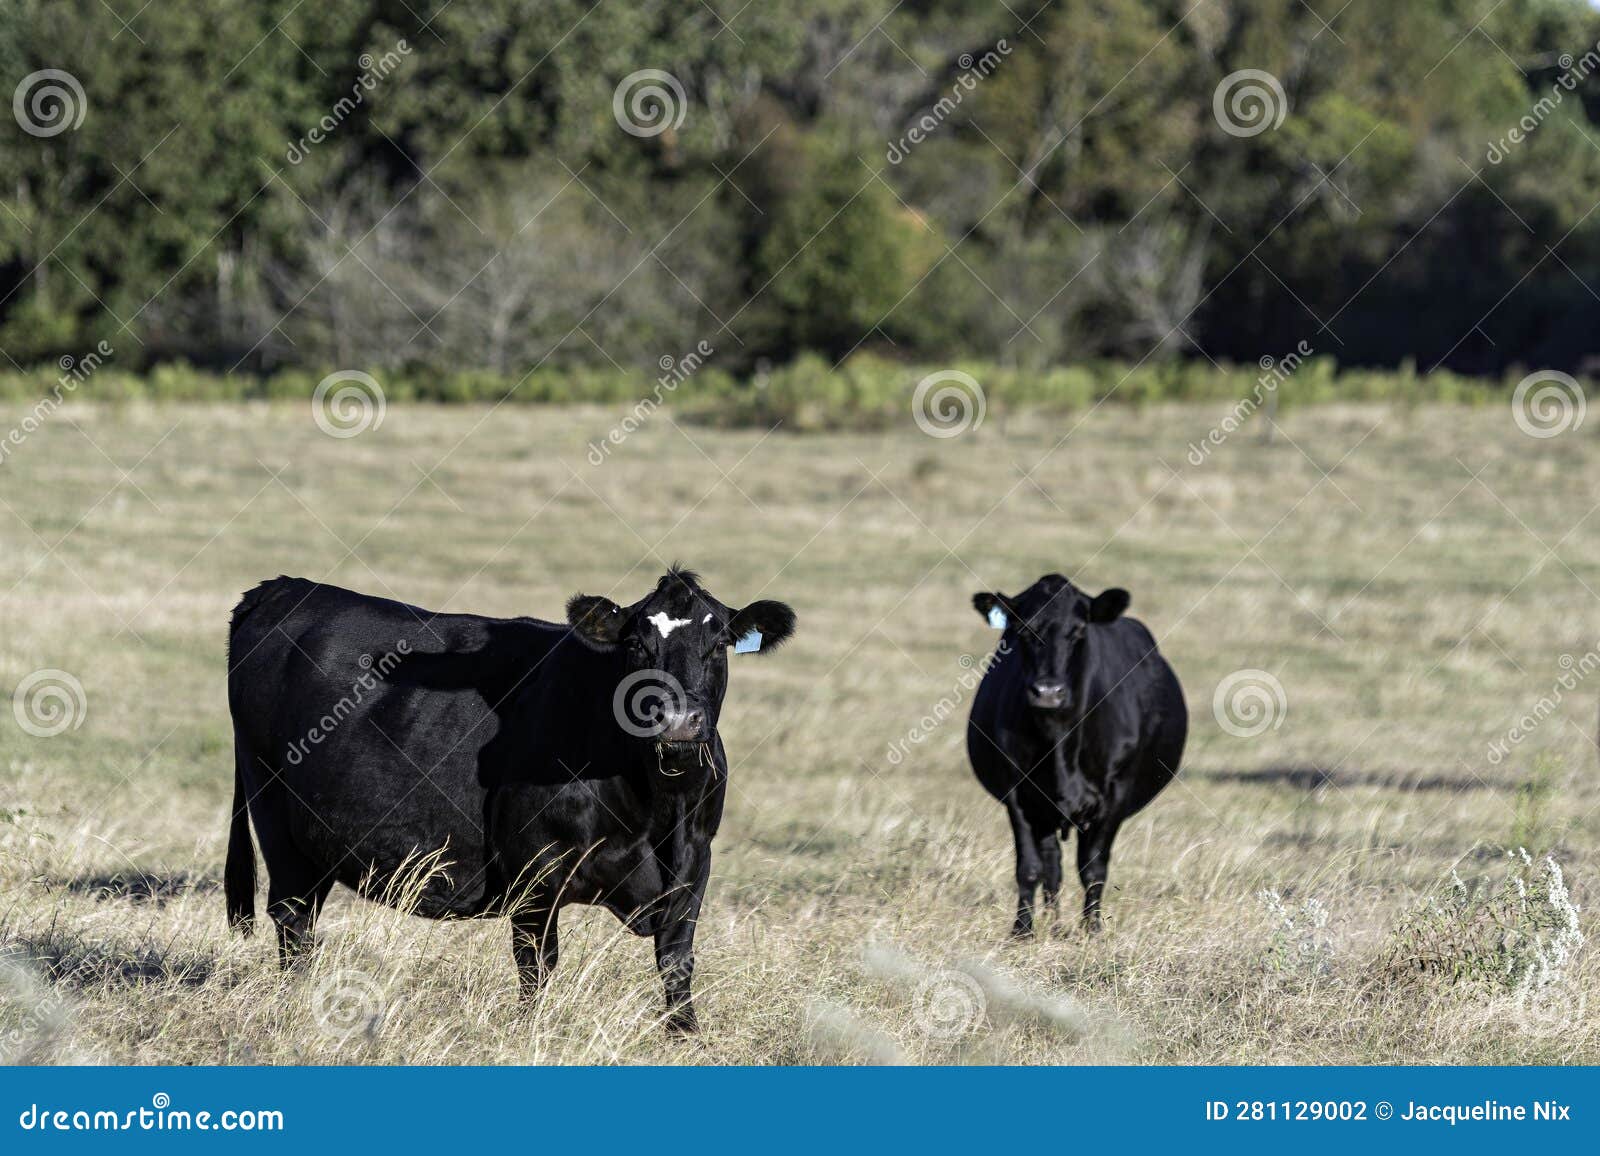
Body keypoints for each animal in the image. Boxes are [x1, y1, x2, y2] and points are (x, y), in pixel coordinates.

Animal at [224, 567, 795, 1033]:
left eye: (718, 643)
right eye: (636, 645)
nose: (676, 721)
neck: (660, 804)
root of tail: (285, 588)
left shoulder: (696, 857)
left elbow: (676, 957)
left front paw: (684, 1035)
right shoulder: (536, 863)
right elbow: (536, 961)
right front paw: (531, 1030)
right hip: (274, 812)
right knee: (293, 920)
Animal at [966, 574, 1185, 937]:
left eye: (1079, 630)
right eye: (1023, 630)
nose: (1048, 692)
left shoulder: (1116, 795)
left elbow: (1093, 868)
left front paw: (1092, 930)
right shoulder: (1018, 795)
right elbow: (1029, 867)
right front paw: (1021, 931)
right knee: (1052, 866)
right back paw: (1054, 926)